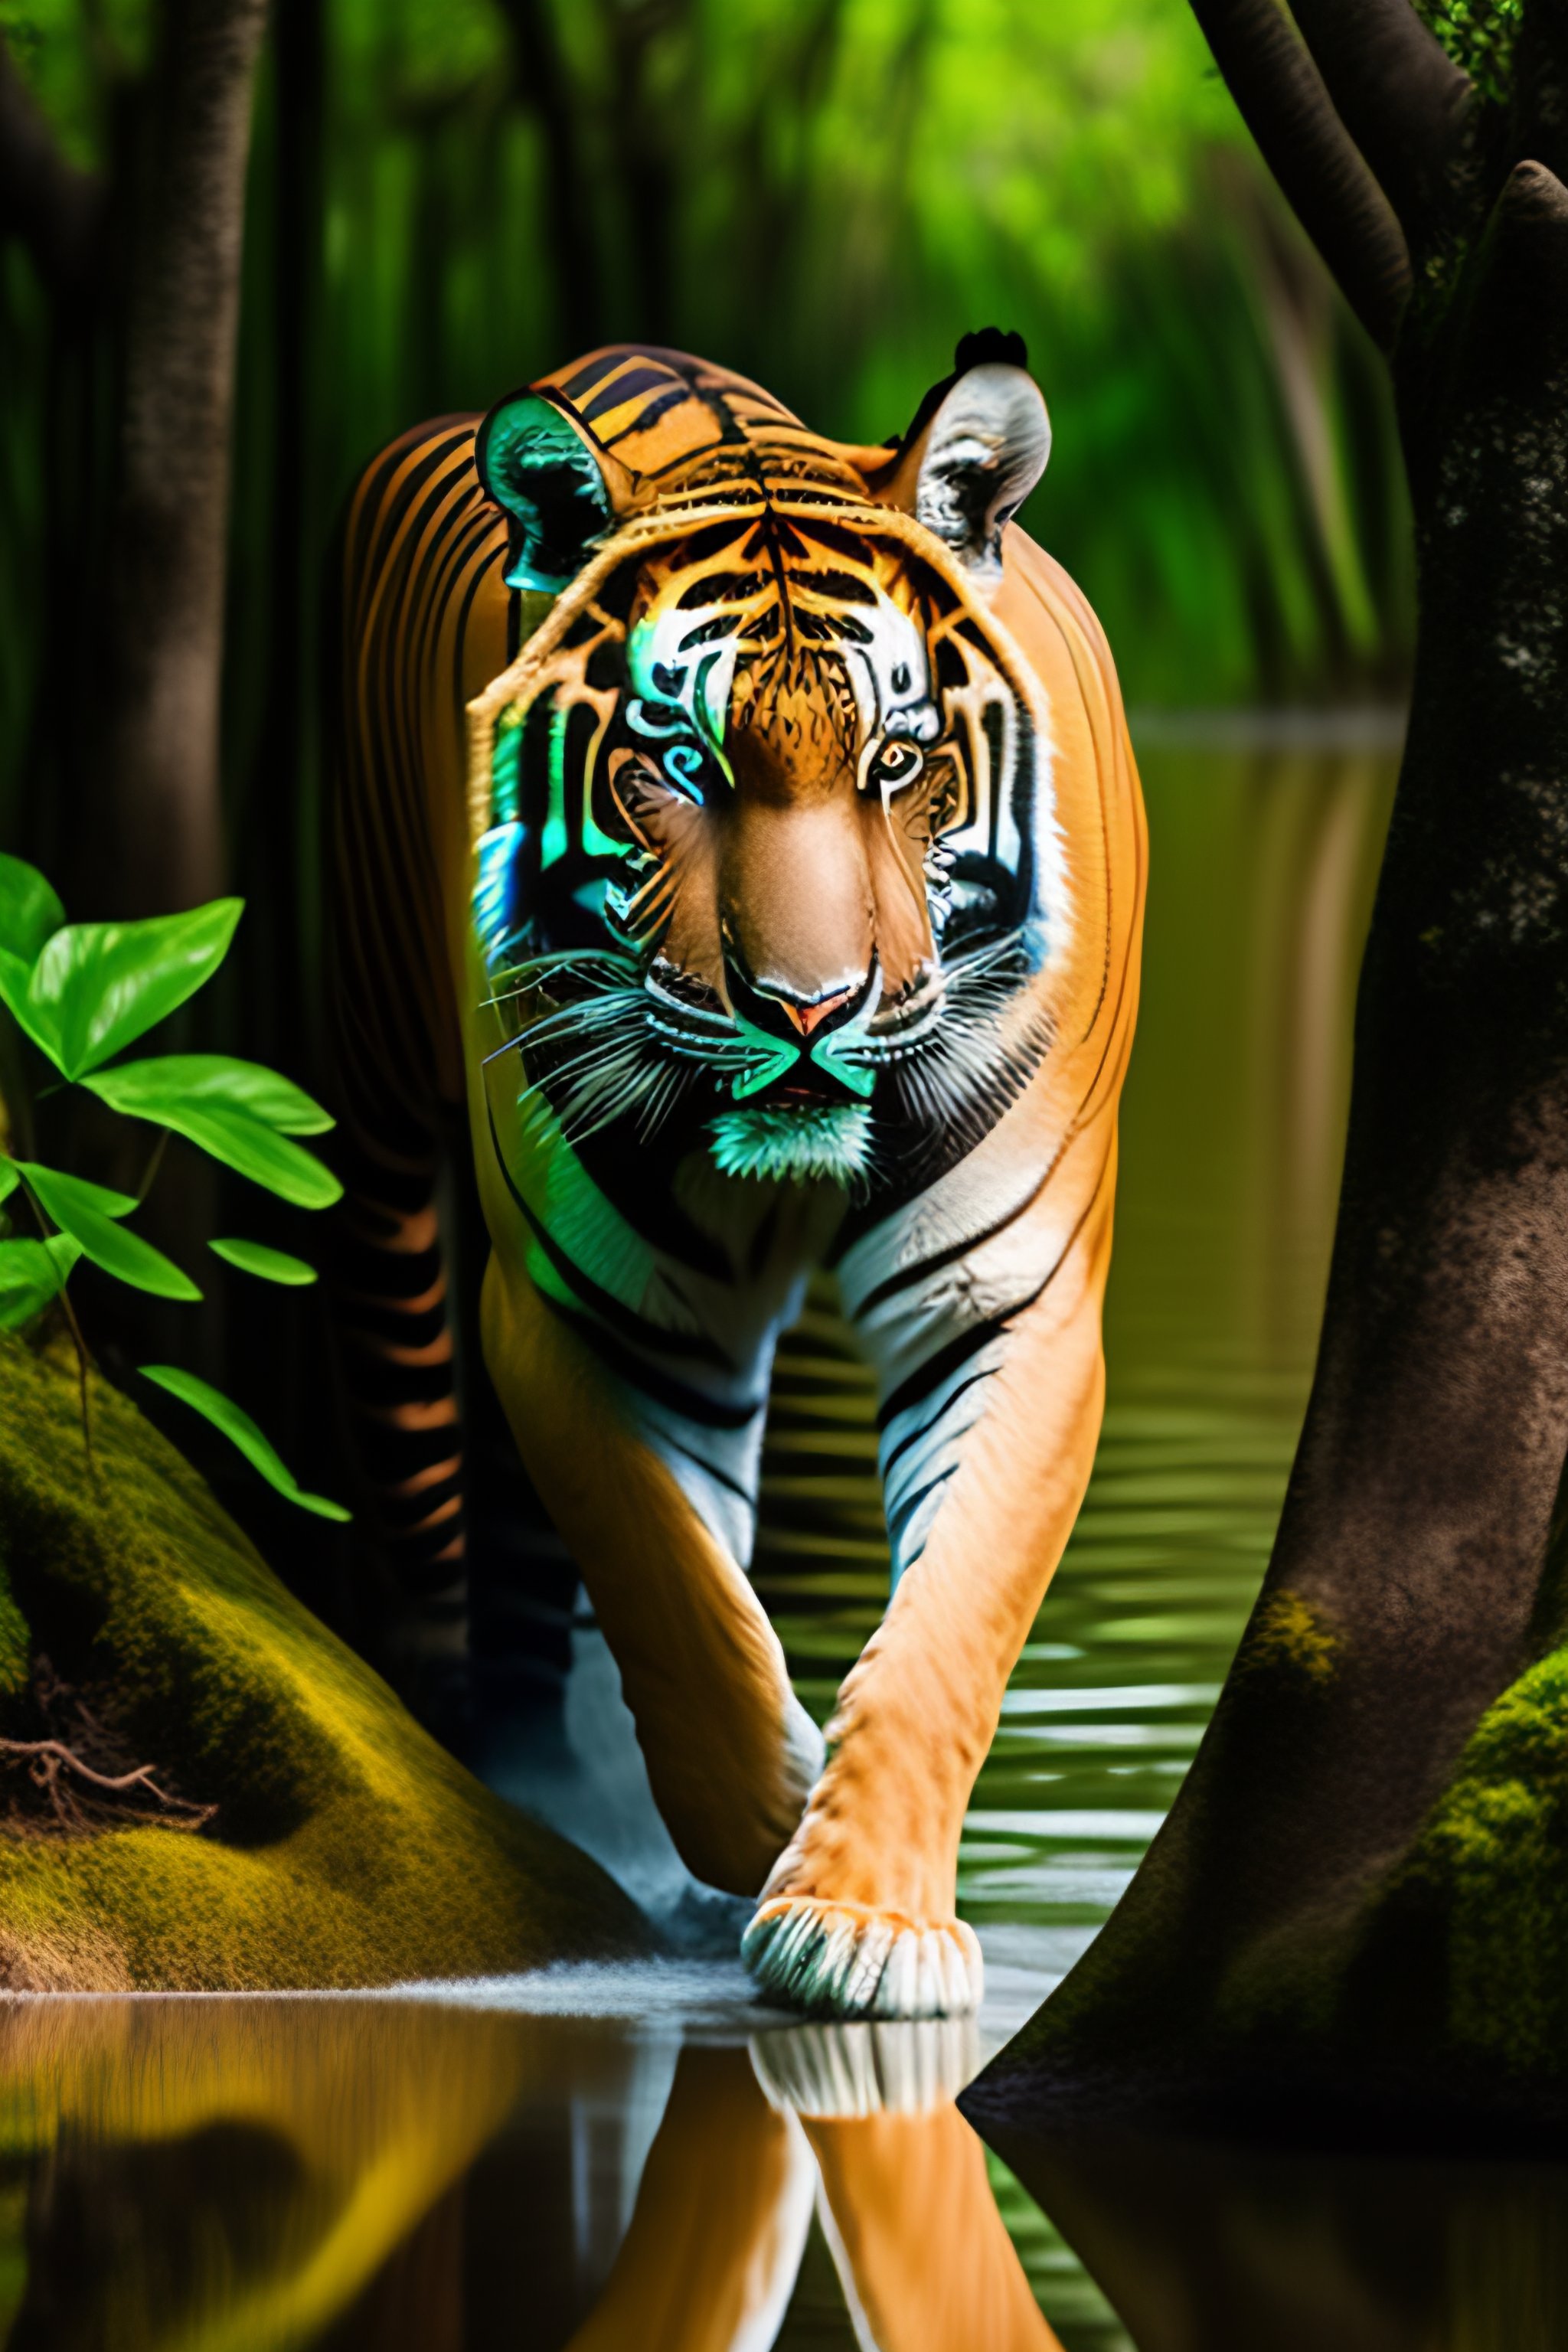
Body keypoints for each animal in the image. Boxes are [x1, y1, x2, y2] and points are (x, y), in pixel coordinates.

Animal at [325, 333, 1145, 2019]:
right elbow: (674, 1588)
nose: (807, 1009)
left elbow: (950, 1617)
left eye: (897, 760)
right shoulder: (586, 1314)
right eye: (679, 764)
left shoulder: (1008, 1302)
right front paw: (769, 1816)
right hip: (374, 1110)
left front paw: (859, 1912)